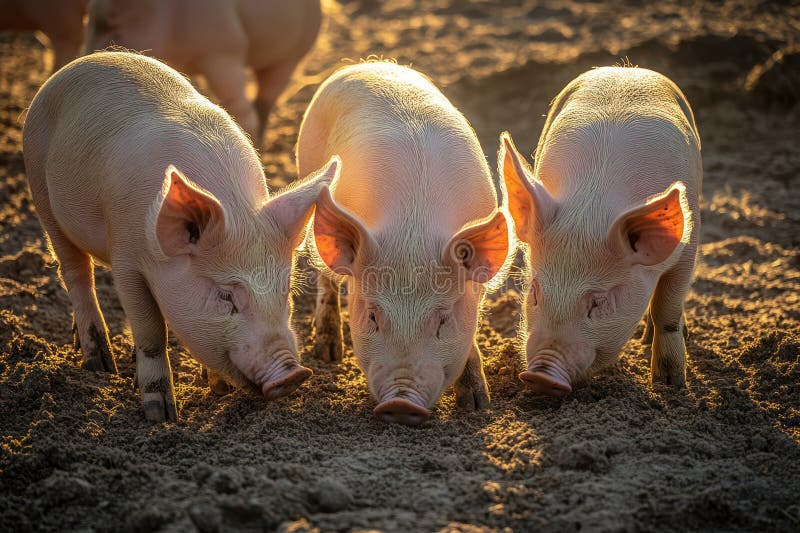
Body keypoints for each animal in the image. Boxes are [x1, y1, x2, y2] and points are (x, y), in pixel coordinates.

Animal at [23, 51, 340, 421]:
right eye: (225, 296)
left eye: (286, 291)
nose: (294, 374)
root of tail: (82, 62)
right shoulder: (126, 256)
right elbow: (150, 331)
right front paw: (161, 415)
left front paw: (219, 388)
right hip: (42, 195)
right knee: (76, 275)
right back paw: (100, 365)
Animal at [84, 0, 322, 145]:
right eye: (89, 21)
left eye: (110, 24)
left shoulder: (223, 52)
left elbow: (238, 105)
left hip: (292, 55)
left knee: (265, 99)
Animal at [297, 62, 512, 425]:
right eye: (372, 316)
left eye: (443, 319)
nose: (401, 402)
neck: (414, 231)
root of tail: (367, 63)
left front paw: (477, 405)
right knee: (327, 276)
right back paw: (327, 353)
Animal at [500, 66, 701, 396]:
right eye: (535, 292)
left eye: (598, 301)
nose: (540, 376)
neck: (591, 208)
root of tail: (626, 70)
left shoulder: (687, 249)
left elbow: (668, 309)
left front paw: (670, 385)